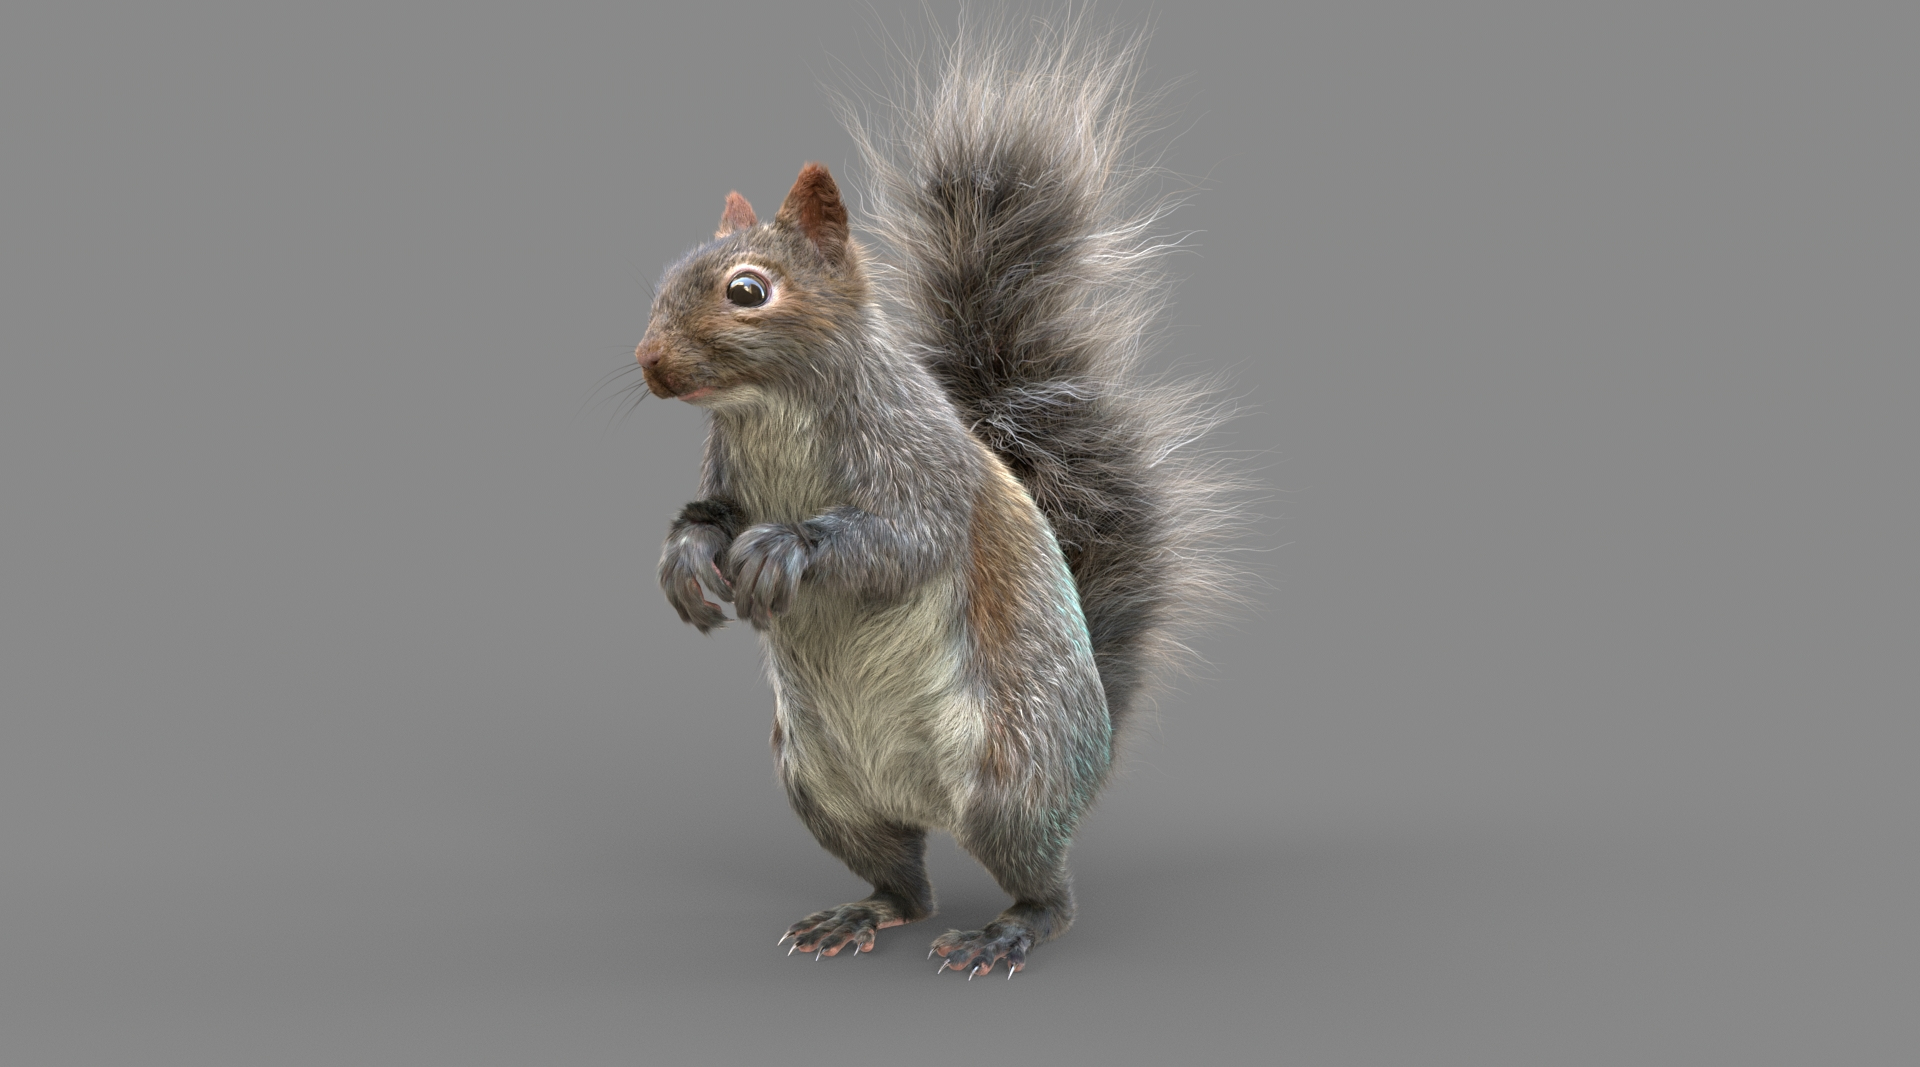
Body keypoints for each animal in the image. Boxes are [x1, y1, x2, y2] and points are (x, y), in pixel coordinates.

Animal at [634, 24, 1237, 977]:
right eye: (666, 277)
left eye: (748, 290)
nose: (650, 363)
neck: (770, 410)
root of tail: (1095, 749)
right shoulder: (725, 475)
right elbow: (709, 518)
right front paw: (688, 563)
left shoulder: (921, 464)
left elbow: (904, 540)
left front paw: (783, 547)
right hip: (823, 792)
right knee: (906, 885)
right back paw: (859, 913)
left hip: (1009, 779)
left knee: (1050, 892)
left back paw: (1004, 932)